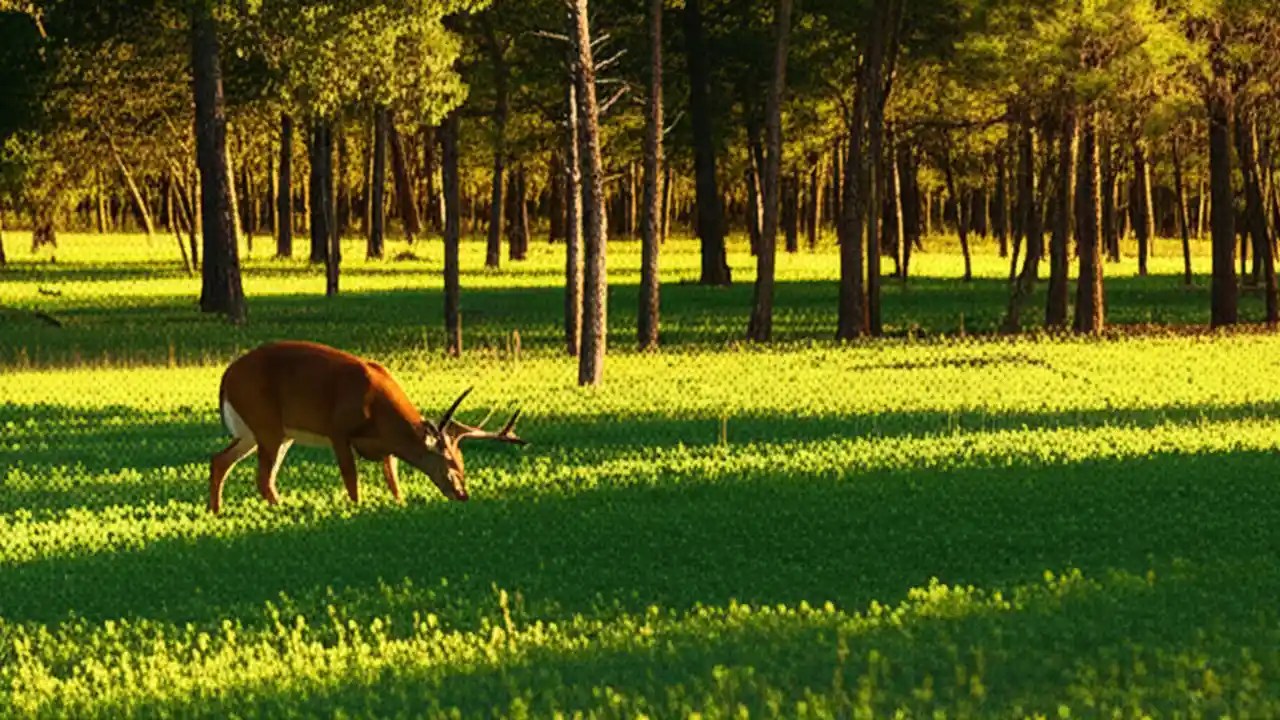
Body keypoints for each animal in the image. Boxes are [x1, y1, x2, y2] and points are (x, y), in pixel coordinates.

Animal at [208, 340, 526, 514]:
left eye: (463, 463)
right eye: (449, 463)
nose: (462, 494)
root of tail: (226, 378)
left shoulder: (387, 447)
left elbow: (393, 480)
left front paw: (399, 504)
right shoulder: (337, 430)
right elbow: (351, 479)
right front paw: (357, 508)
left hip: (265, 433)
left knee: (220, 460)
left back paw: (215, 511)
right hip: (267, 424)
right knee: (263, 478)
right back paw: (283, 509)